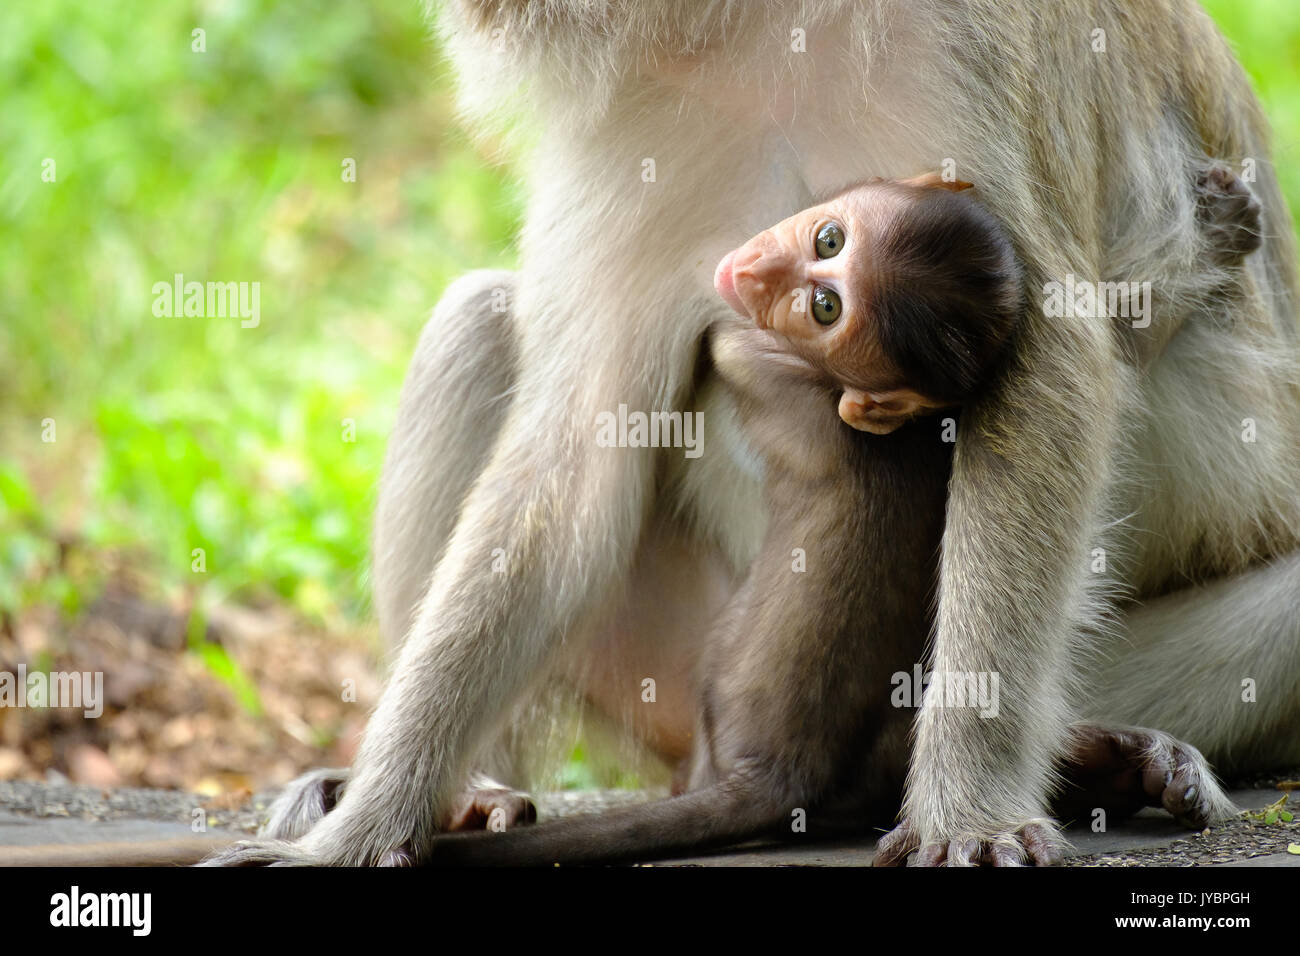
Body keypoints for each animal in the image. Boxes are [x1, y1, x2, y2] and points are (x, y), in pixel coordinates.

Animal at [206, 0, 1299, 868]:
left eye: (830, 283)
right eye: (822, 237)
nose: (766, 271)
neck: (750, 20)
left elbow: (1050, 363)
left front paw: (969, 810)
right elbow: (580, 443)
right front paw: (367, 826)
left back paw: (1098, 757)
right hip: (669, 659)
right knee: (477, 324)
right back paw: (472, 786)